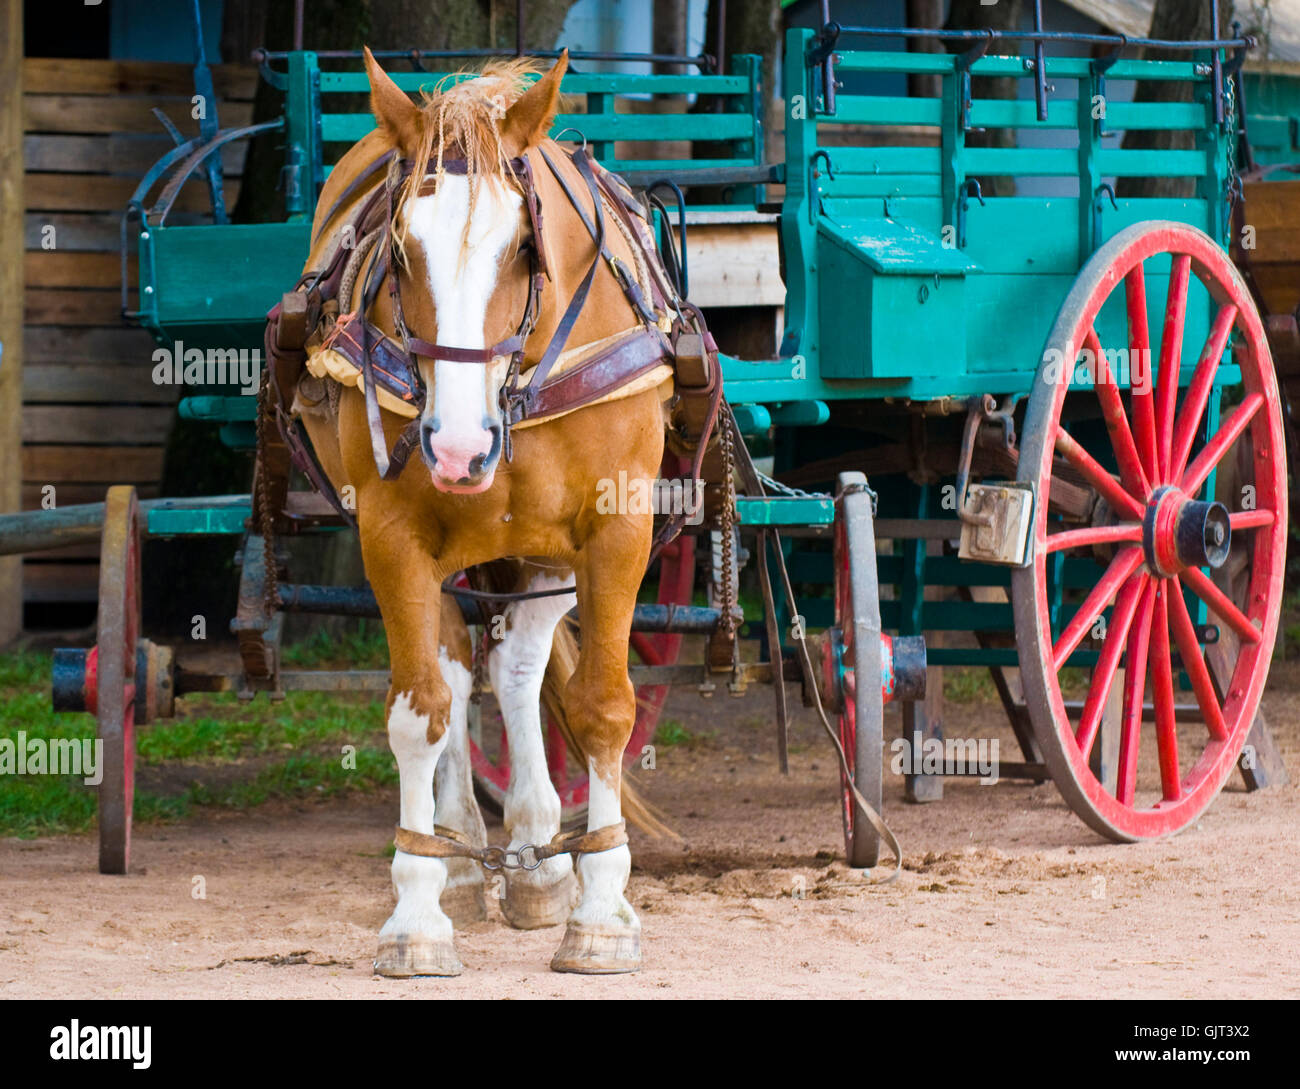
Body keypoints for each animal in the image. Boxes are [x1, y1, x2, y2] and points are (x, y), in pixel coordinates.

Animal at [288, 49, 685, 976]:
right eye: (400, 248)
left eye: (522, 249)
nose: (460, 446)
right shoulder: (392, 536)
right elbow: (420, 712)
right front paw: (417, 909)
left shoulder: (615, 531)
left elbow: (602, 706)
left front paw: (602, 908)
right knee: (460, 669)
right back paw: (467, 857)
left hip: (539, 552)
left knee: (516, 666)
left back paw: (541, 862)